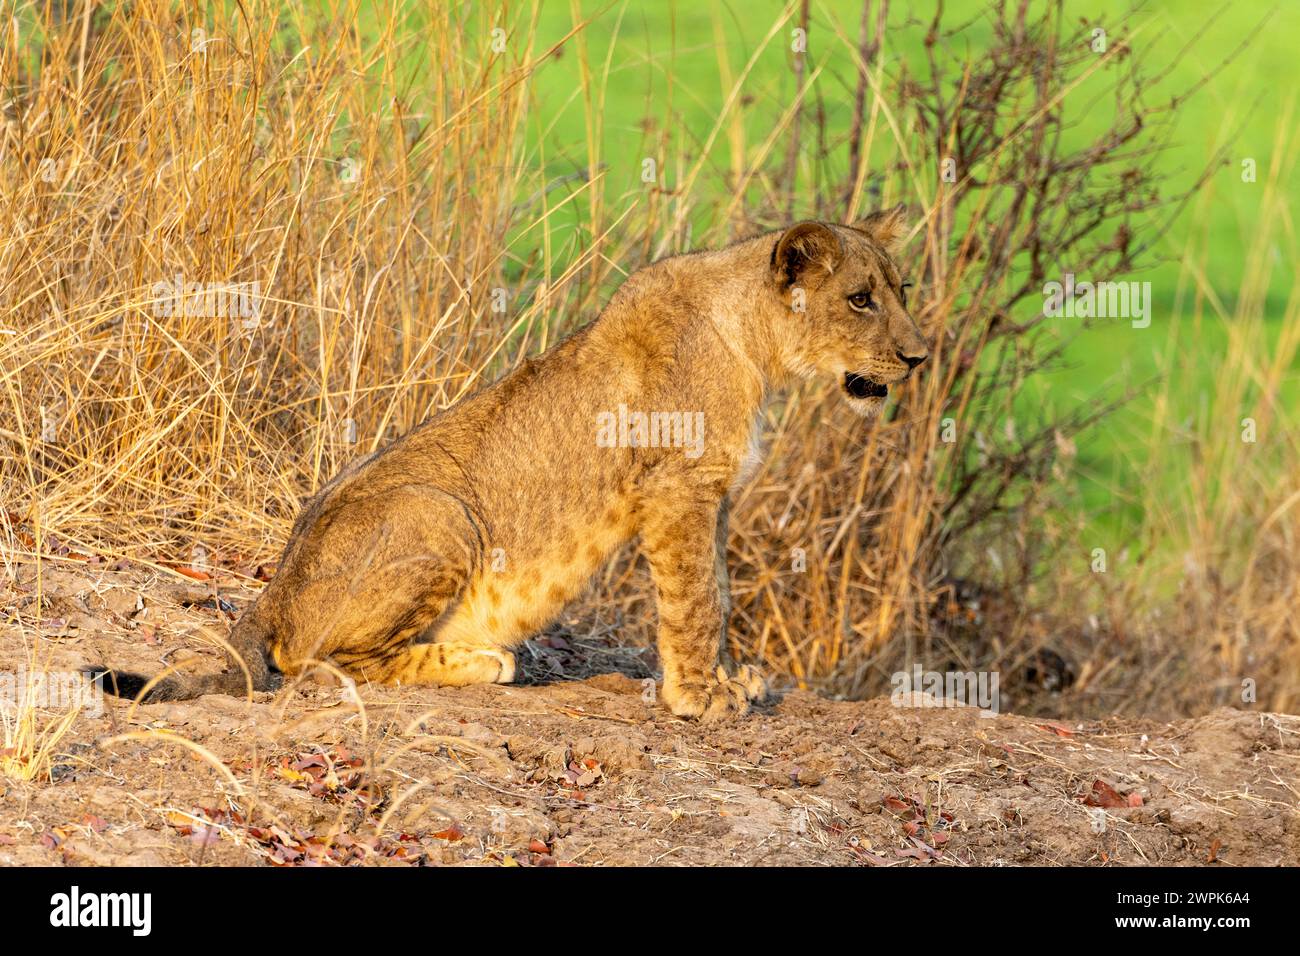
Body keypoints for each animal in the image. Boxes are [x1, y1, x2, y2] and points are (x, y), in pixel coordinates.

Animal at [91, 207, 928, 720]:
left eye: (902, 290)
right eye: (859, 299)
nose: (920, 356)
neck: (757, 347)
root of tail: (273, 588)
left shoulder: (712, 497)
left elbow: (714, 594)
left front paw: (727, 680)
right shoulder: (678, 491)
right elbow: (695, 603)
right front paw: (700, 698)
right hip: (439, 512)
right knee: (318, 661)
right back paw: (481, 661)